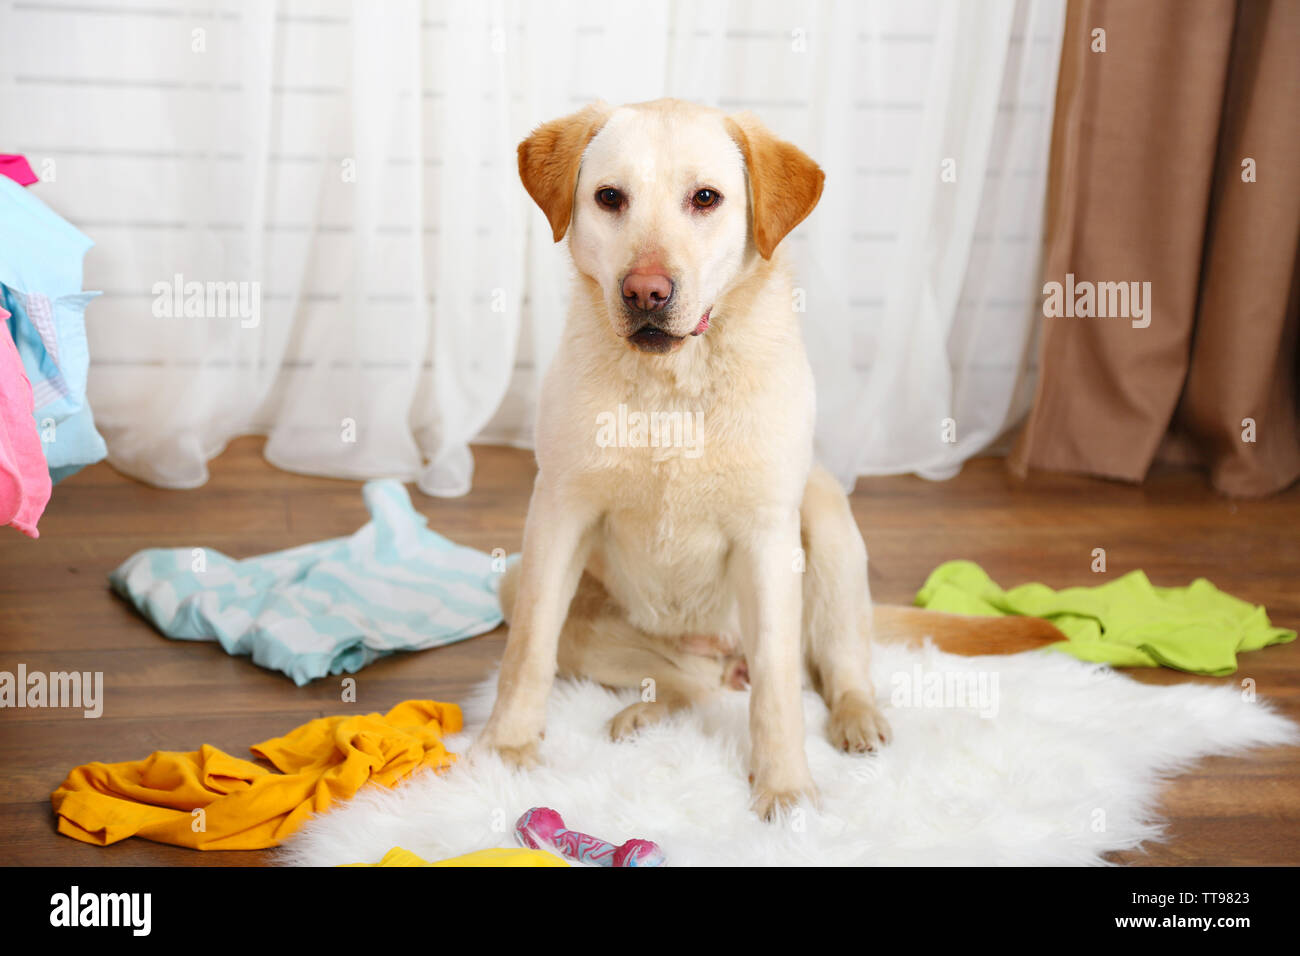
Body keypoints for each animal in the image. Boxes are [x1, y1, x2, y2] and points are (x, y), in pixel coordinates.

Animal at [483, 98, 1060, 822]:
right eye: (609, 197)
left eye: (705, 198)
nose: (645, 292)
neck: (674, 383)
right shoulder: (558, 514)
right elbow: (527, 651)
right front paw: (505, 749)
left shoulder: (766, 537)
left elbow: (781, 687)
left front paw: (785, 788)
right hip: (528, 586)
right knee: (692, 686)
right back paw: (649, 712)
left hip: (827, 520)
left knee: (836, 664)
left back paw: (856, 716)